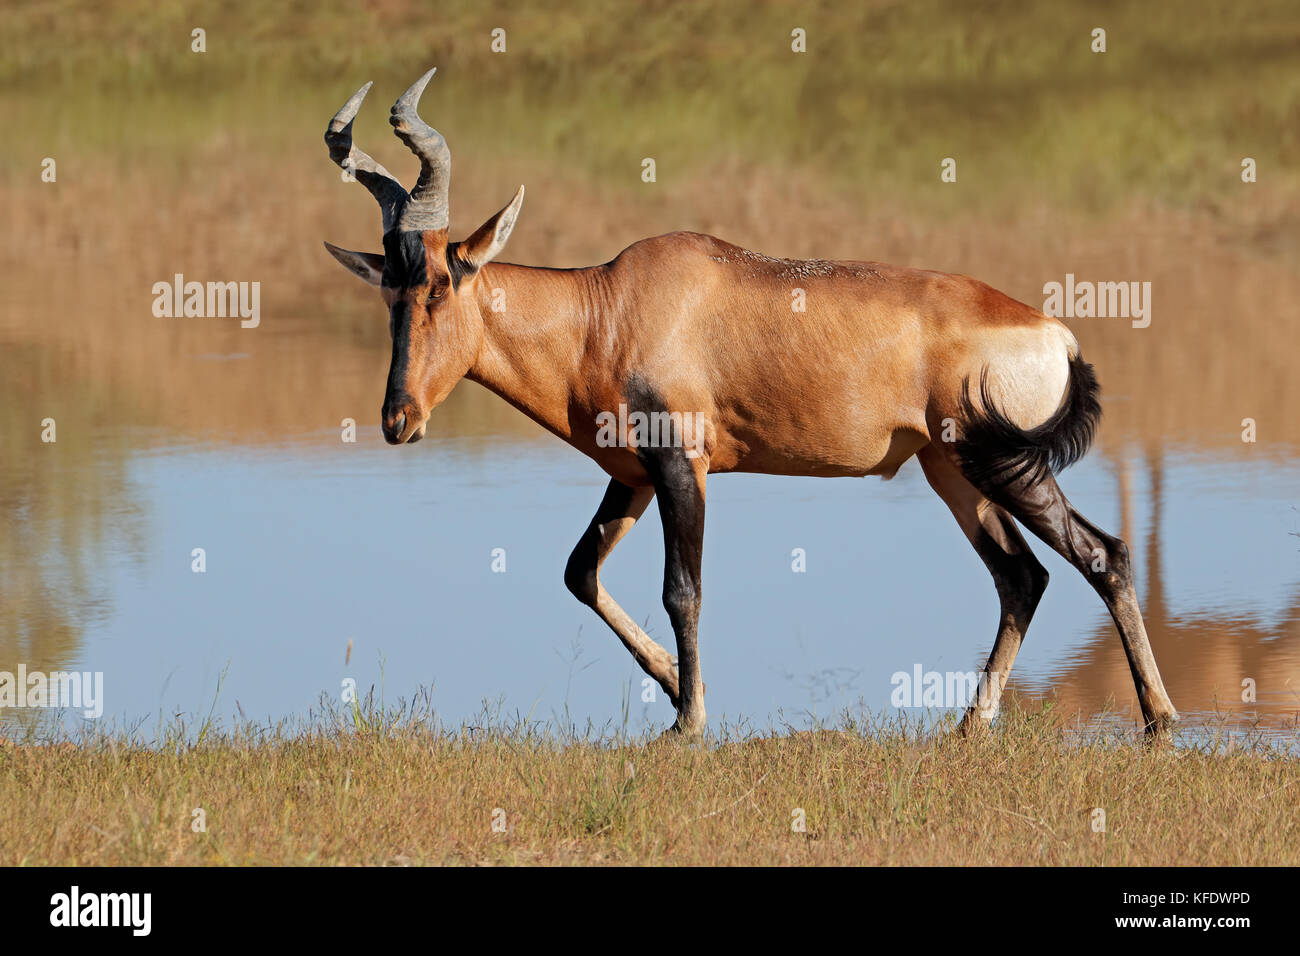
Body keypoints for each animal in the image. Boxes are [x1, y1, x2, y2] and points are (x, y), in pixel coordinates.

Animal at [322, 69, 1178, 738]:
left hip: (1006, 464)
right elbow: (579, 573)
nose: (398, 421)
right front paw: (676, 685)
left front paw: (688, 721)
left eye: (442, 282)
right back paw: (971, 724)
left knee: (1101, 555)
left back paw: (1159, 718)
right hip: (955, 470)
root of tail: (1053, 331)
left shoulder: (681, 467)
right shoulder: (631, 474)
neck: (609, 303)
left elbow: (683, 590)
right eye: (391, 291)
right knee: (1021, 578)